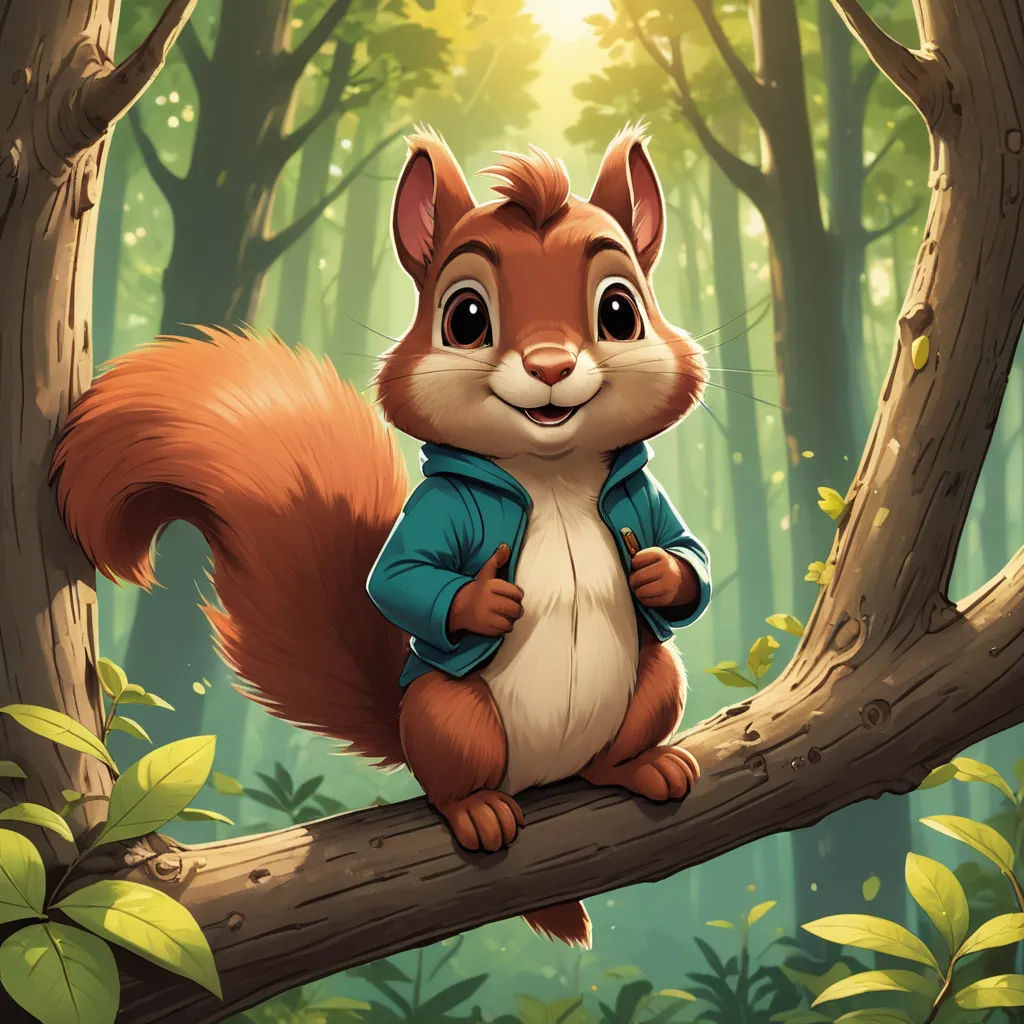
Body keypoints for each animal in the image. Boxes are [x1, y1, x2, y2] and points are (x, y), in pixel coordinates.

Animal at [50, 125, 711, 949]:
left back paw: (640, 768)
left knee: (615, 744)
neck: (552, 473)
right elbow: (398, 578)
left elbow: (688, 557)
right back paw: (477, 809)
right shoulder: (437, 515)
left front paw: (657, 573)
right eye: (466, 318)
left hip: (653, 682)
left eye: (620, 311)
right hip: (450, 716)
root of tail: (543, 777)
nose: (552, 366)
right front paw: (483, 600)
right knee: (453, 777)